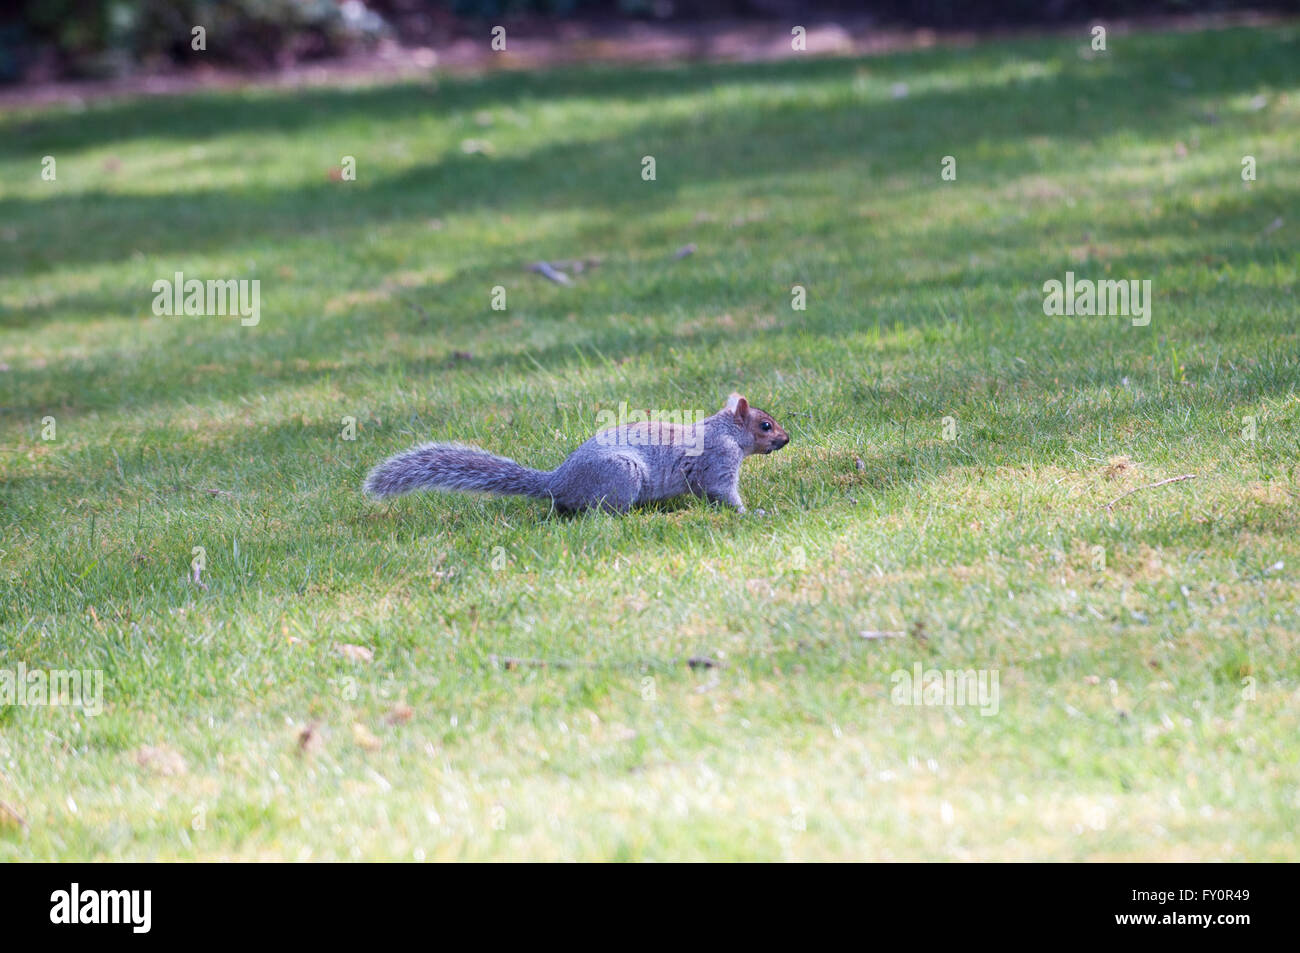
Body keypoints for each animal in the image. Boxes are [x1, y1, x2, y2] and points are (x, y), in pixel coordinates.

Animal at [364, 393, 789, 514]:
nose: (787, 439)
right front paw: (751, 513)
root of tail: (558, 482)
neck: (724, 430)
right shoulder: (718, 461)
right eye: (765, 426)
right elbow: (721, 491)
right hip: (621, 476)